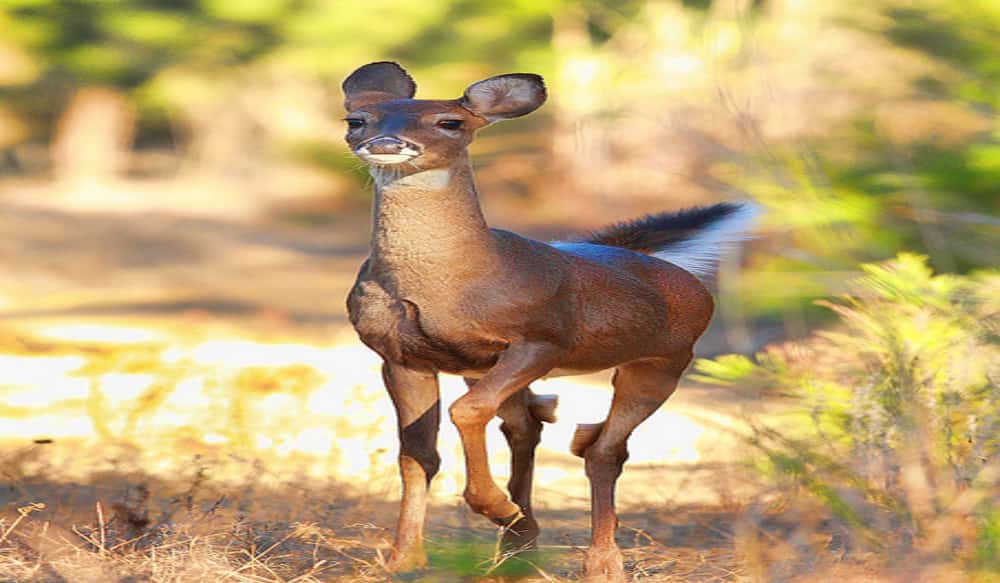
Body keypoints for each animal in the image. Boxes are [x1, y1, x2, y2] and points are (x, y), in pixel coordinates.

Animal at [342, 61, 756, 581]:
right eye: (358, 120)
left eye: (449, 122)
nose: (385, 143)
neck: (453, 282)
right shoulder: (399, 354)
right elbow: (417, 455)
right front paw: (403, 559)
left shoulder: (542, 338)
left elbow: (467, 412)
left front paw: (496, 506)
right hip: (490, 370)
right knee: (532, 428)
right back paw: (520, 545)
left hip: (665, 360)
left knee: (602, 449)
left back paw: (599, 561)